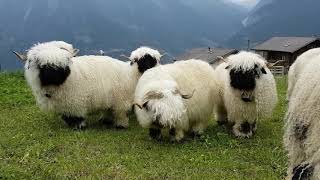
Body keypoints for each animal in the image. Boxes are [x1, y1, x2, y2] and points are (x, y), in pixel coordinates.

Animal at [13, 42, 161, 129]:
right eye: (42, 65)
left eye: (64, 64)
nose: (55, 76)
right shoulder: (66, 104)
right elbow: (67, 116)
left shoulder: (75, 102)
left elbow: (77, 117)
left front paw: (79, 126)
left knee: (119, 113)